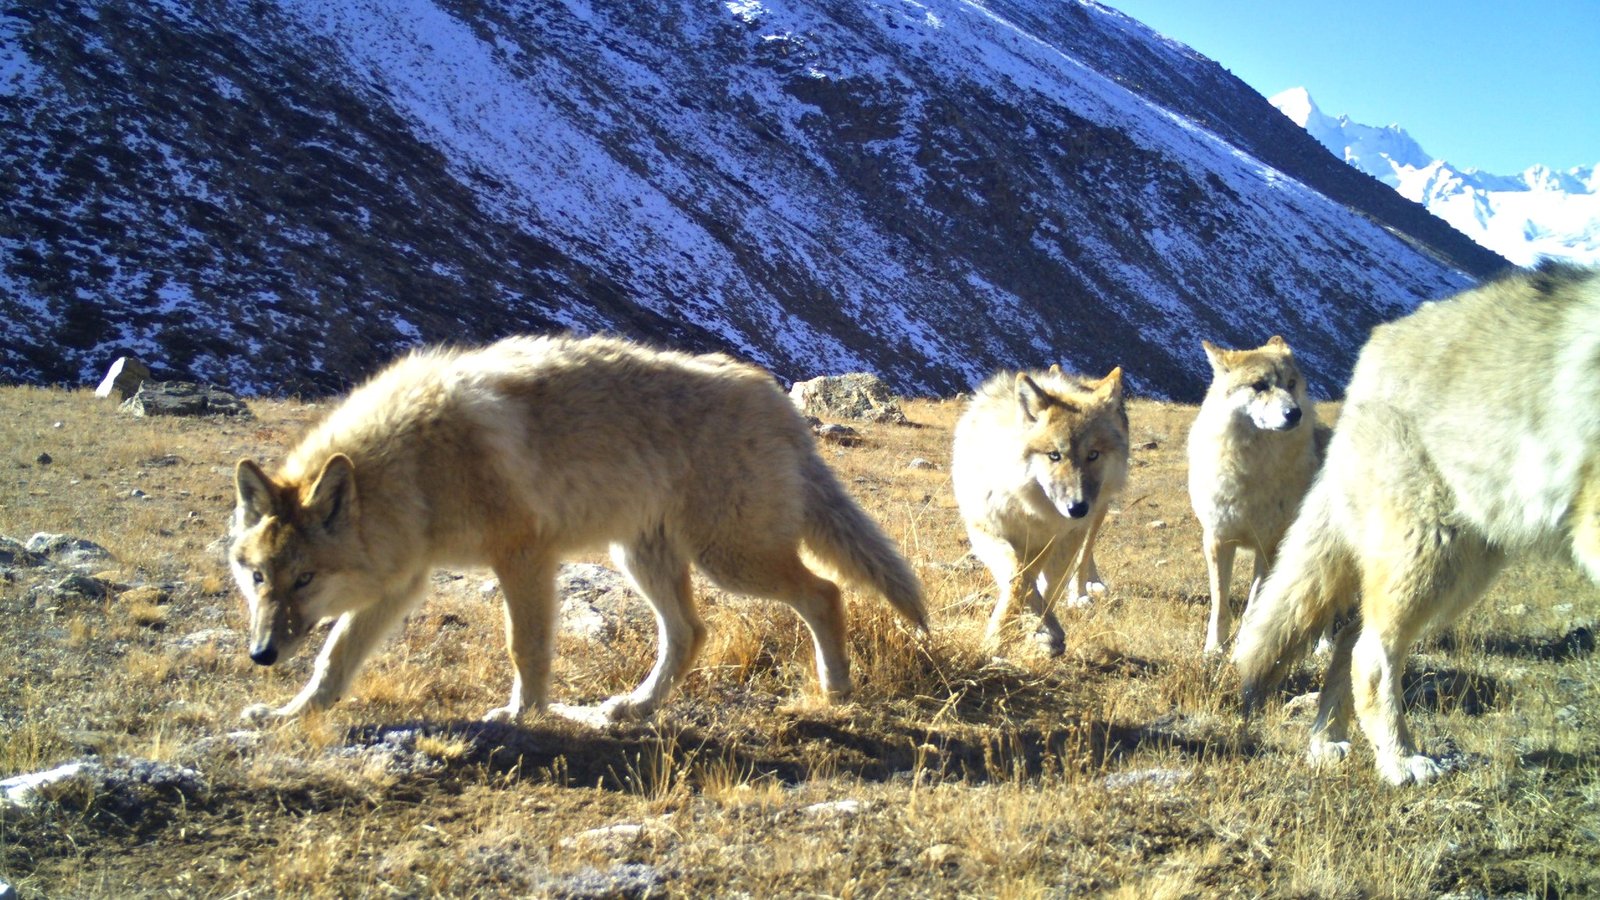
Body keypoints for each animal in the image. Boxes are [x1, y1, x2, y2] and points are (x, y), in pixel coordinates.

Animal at [229, 334, 927, 725]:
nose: (260, 654)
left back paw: (835, 689)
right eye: (258, 577)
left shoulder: (524, 558)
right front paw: (290, 715)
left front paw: (522, 715)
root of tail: (778, 400)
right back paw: (635, 708)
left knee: (824, 594)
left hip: (729, 560)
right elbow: (333, 659)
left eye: (305, 579)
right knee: (691, 634)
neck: (415, 464)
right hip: (643, 559)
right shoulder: (402, 583)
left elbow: (525, 647)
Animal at [951, 365, 1129, 655]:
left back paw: (1081, 594)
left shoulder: (1050, 540)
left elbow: (1038, 586)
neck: (1025, 504)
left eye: (1093, 454)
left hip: (1094, 517)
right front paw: (996, 641)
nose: (1078, 508)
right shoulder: (986, 530)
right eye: (1054, 455)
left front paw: (1039, 632)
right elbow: (1018, 580)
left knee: (1081, 558)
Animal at [1187, 336, 1330, 654]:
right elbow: (1220, 605)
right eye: (1259, 385)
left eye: (1291, 383)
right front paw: (1214, 650)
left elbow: (1253, 606)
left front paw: (1242, 649)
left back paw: (1324, 646)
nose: (1295, 413)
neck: (1253, 472)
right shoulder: (1218, 541)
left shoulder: (1270, 546)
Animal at [1234, 261, 1600, 785]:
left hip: (1464, 564)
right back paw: (1401, 758)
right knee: (1369, 653)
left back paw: (1328, 741)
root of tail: (1379, 343)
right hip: (1434, 554)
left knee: (1348, 640)